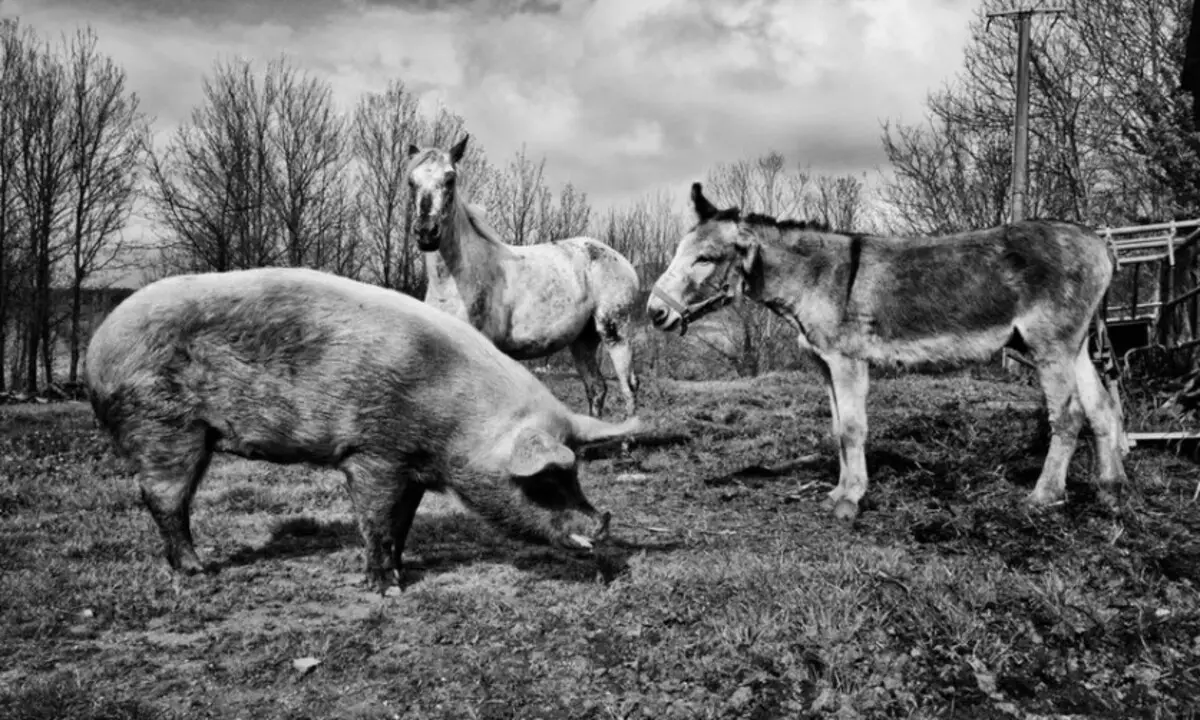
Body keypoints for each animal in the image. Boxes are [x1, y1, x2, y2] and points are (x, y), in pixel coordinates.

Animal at [85, 267, 643, 592]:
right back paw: (197, 571)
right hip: (161, 425)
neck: (453, 425)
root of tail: (96, 349)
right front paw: (385, 587)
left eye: (575, 473)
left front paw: (403, 571)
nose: (602, 522)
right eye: (545, 479)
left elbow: (402, 522)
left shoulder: (413, 468)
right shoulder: (374, 453)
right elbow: (375, 519)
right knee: (163, 499)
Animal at [408, 137, 643, 420]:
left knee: (628, 386)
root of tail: (623, 262)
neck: (453, 283)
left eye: (450, 179)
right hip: (583, 340)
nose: (426, 233)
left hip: (616, 332)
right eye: (411, 181)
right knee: (596, 387)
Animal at [648, 184, 1123, 523]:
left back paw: (1044, 496)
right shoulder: (825, 364)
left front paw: (851, 500)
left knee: (1069, 415)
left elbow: (853, 428)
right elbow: (837, 428)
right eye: (679, 253)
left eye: (705, 259)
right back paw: (1109, 487)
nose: (653, 313)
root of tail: (1098, 241)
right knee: (1102, 407)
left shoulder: (848, 361)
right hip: (1075, 346)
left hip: (1050, 346)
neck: (813, 278)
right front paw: (838, 492)